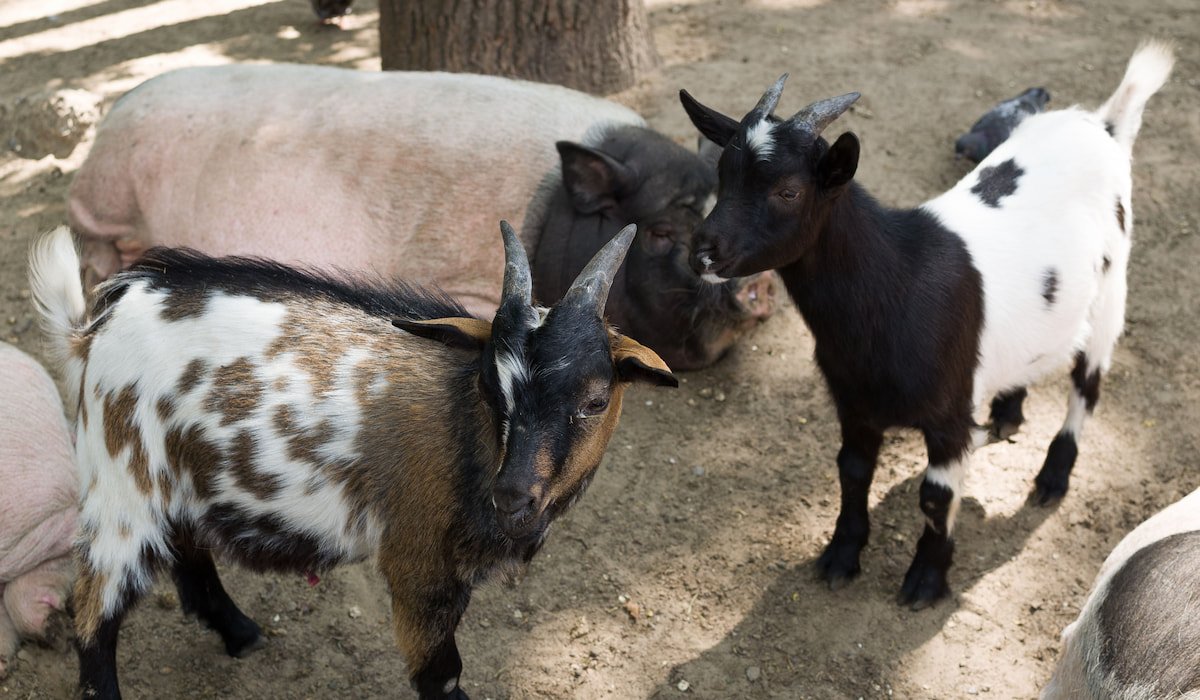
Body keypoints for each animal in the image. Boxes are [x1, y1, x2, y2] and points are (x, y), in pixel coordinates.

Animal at [28, 222, 677, 699]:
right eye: (490, 389)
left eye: (595, 401)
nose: (513, 498)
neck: (466, 437)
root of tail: (93, 328)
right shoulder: (419, 567)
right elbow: (442, 675)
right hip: (121, 489)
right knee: (93, 618)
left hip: (174, 480)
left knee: (186, 551)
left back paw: (241, 633)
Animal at [678, 40, 1173, 607]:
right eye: (722, 175)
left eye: (788, 192)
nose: (702, 253)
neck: (898, 285)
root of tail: (1101, 124)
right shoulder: (854, 401)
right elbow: (852, 471)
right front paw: (841, 555)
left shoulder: (948, 413)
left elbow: (936, 496)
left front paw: (927, 579)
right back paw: (1007, 413)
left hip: (1111, 290)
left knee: (1087, 384)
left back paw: (1052, 478)